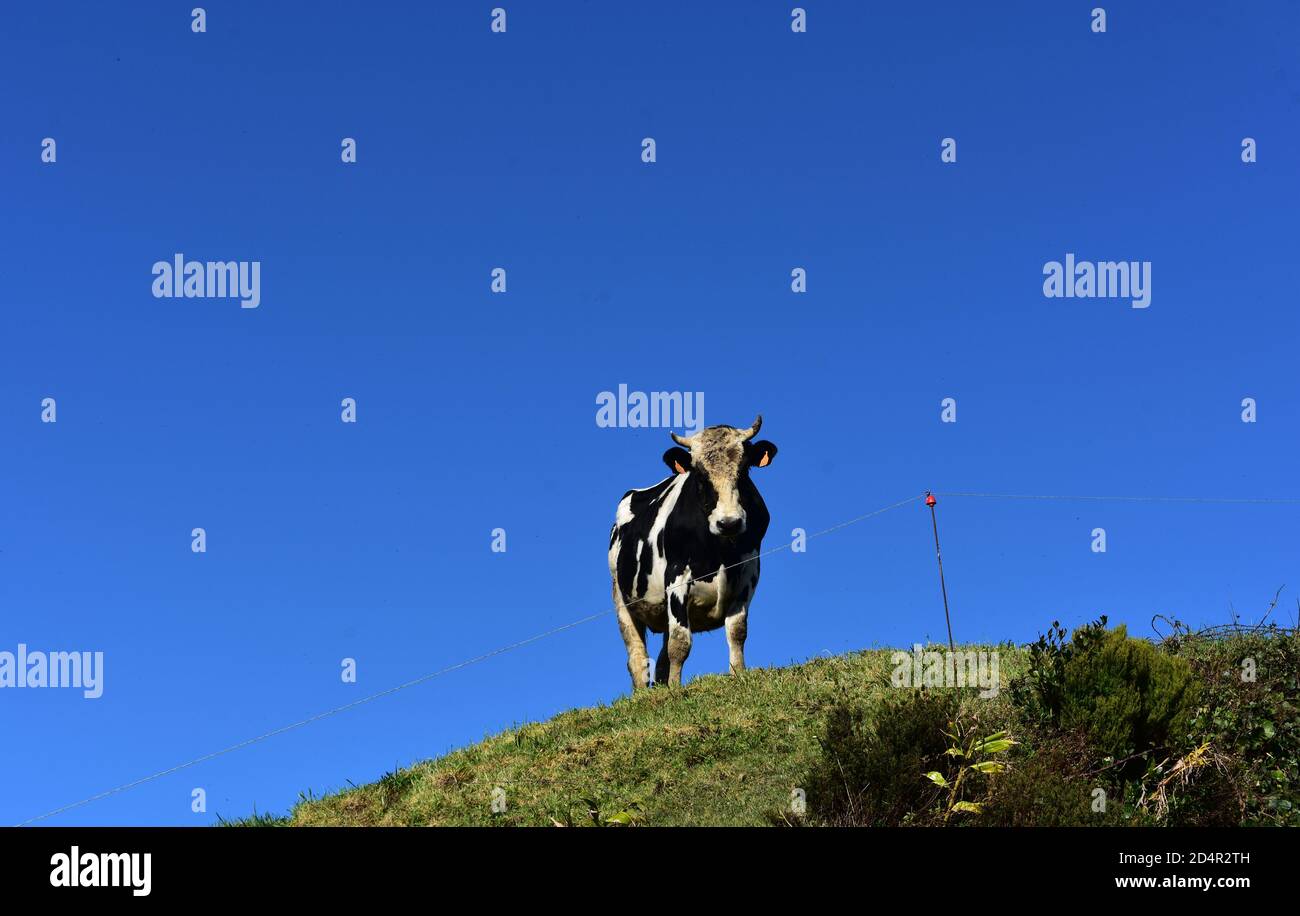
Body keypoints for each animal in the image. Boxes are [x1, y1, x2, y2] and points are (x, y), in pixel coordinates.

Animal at [607, 415, 779, 690]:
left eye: (744, 469)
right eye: (699, 474)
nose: (729, 522)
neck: (720, 552)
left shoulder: (749, 570)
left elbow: (737, 631)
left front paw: (738, 675)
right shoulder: (677, 575)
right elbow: (680, 643)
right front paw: (677, 690)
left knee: (661, 657)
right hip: (621, 598)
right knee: (637, 657)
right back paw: (643, 693)